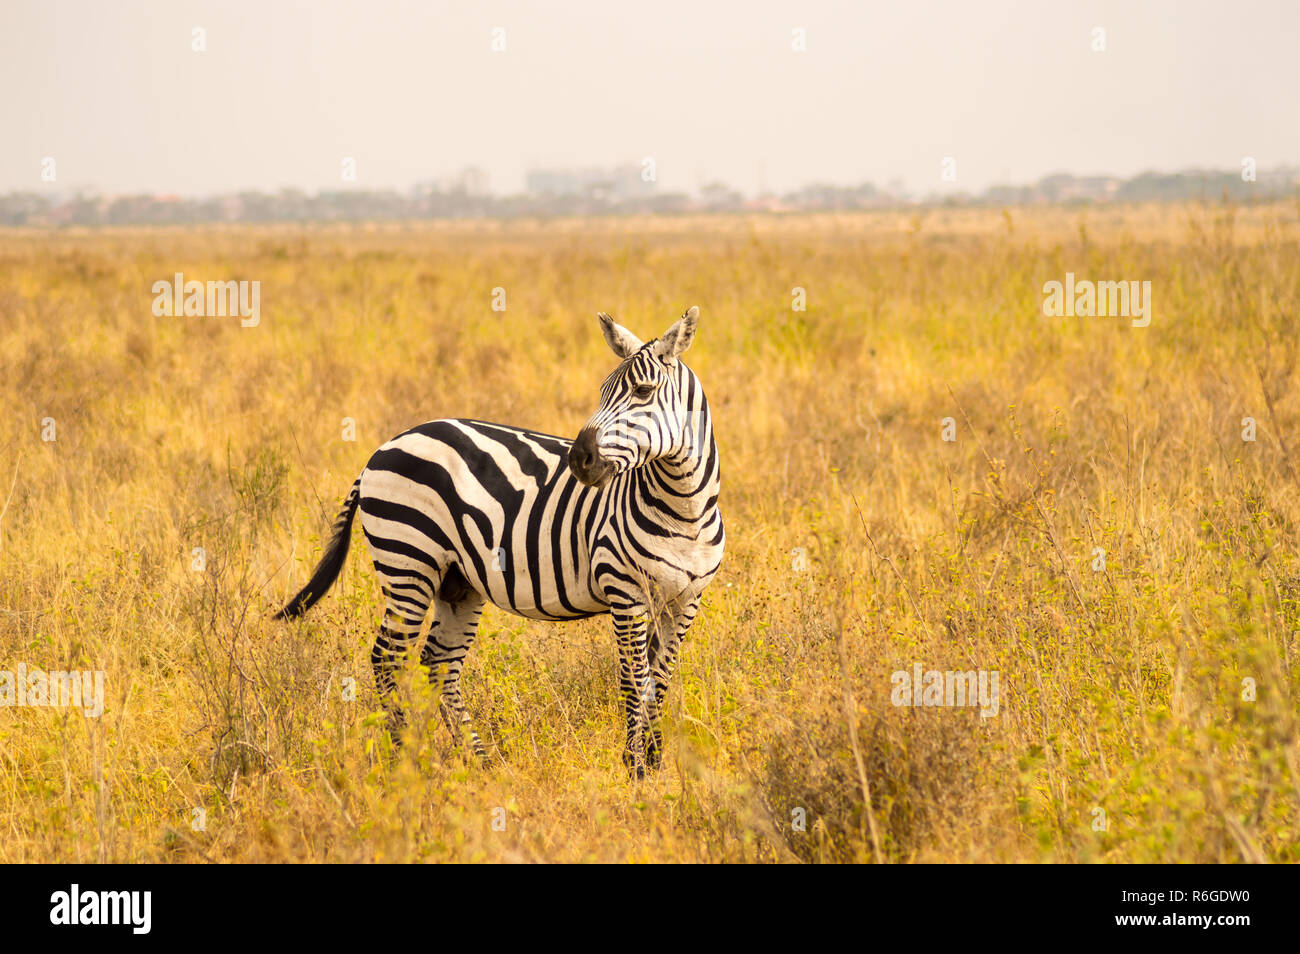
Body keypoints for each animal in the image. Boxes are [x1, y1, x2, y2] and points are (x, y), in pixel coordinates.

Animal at [275, 306, 724, 777]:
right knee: (388, 657)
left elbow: (660, 680)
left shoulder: (686, 600)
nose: (578, 459)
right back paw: (405, 763)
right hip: (409, 561)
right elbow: (635, 682)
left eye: (642, 391)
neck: (684, 510)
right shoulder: (625, 592)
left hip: (457, 583)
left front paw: (654, 764)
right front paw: (635, 768)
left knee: (439, 664)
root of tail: (383, 447)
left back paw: (480, 763)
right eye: (603, 392)